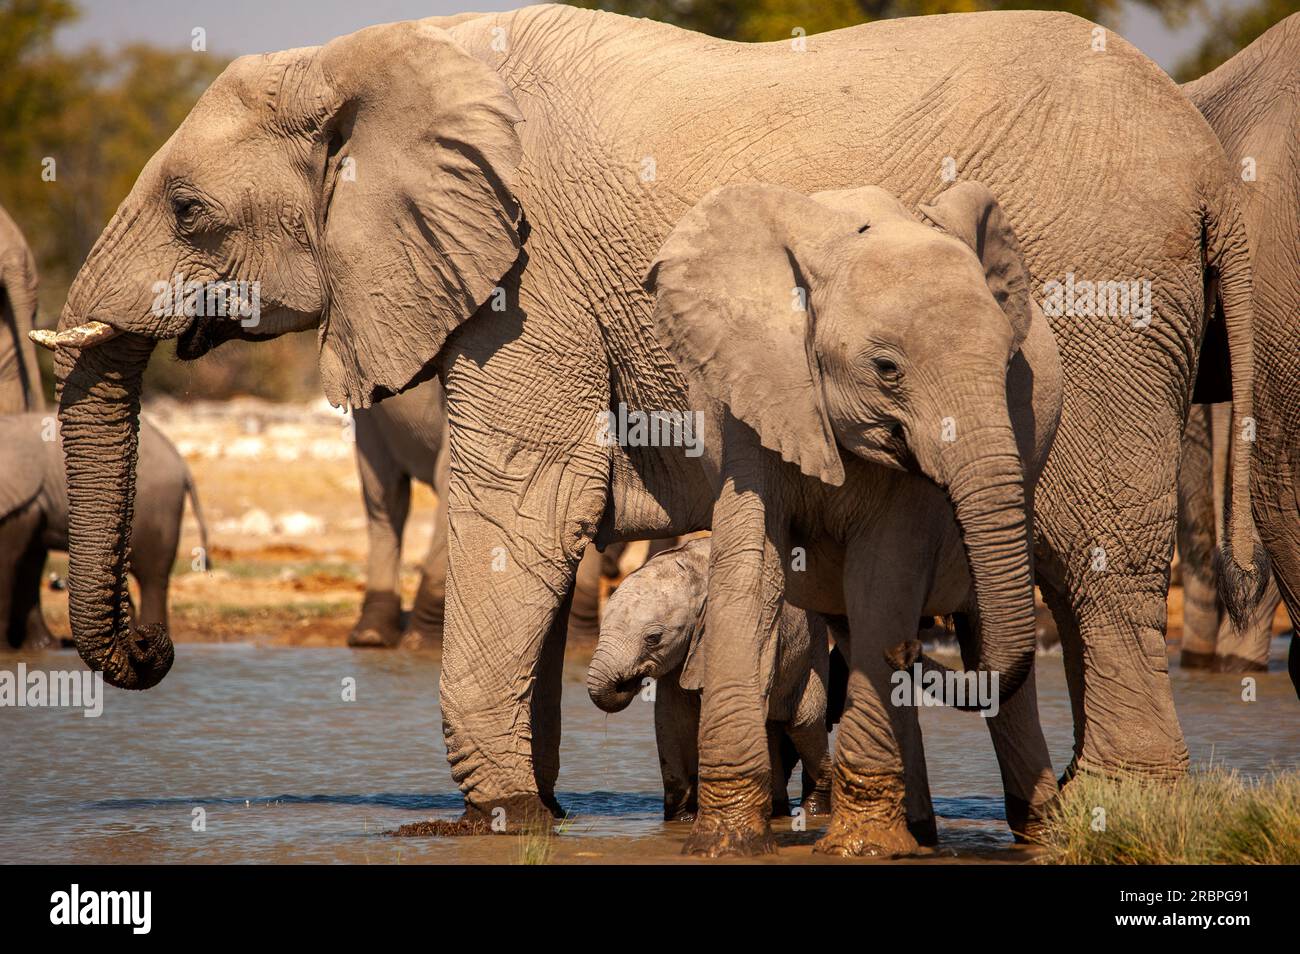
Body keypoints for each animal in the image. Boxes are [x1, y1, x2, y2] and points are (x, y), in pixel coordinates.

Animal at [0, 412, 208, 649]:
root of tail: (181, 464)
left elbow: (9, 559)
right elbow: (29, 561)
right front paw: (41, 647)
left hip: (159, 507)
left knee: (152, 577)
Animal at [587, 536, 833, 822]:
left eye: (653, 638)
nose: (626, 682)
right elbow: (673, 719)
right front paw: (682, 820)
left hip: (813, 648)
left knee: (803, 724)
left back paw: (814, 810)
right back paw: (777, 809)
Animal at [644, 180, 1063, 854]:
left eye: (1007, 365)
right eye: (886, 369)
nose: (913, 646)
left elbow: (883, 579)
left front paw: (859, 849)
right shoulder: (755, 401)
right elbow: (751, 574)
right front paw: (724, 844)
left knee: (986, 639)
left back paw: (1038, 833)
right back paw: (918, 832)